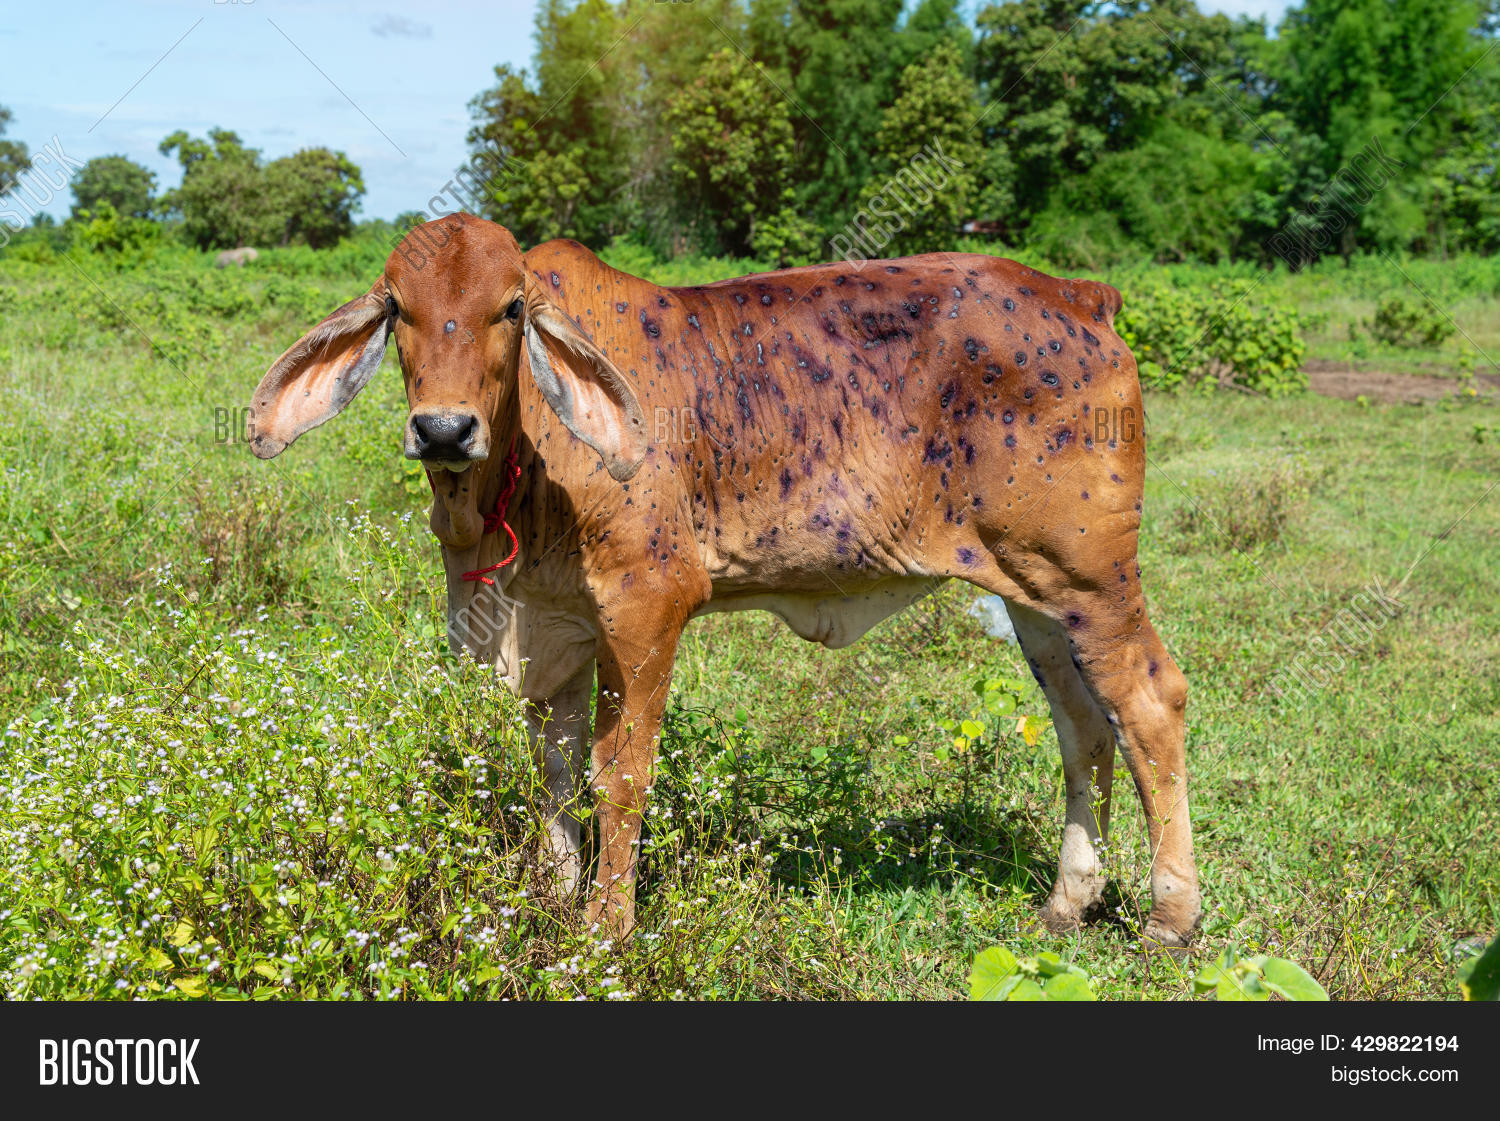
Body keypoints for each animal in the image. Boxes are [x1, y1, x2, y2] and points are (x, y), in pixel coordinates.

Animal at [247, 213, 1200, 948]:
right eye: (398, 310)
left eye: (510, 308)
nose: (443, 429)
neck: (511, 480)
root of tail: (1082, 294)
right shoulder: (553, 627)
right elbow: (553, 772)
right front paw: (550, 902)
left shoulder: (647, 604)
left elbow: (619, 774)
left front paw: (606, 928)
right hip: (1033, 590)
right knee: (1083, 724)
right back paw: (1069, 901)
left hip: (1095, 576)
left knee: (1149, 699)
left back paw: (1170, 915)